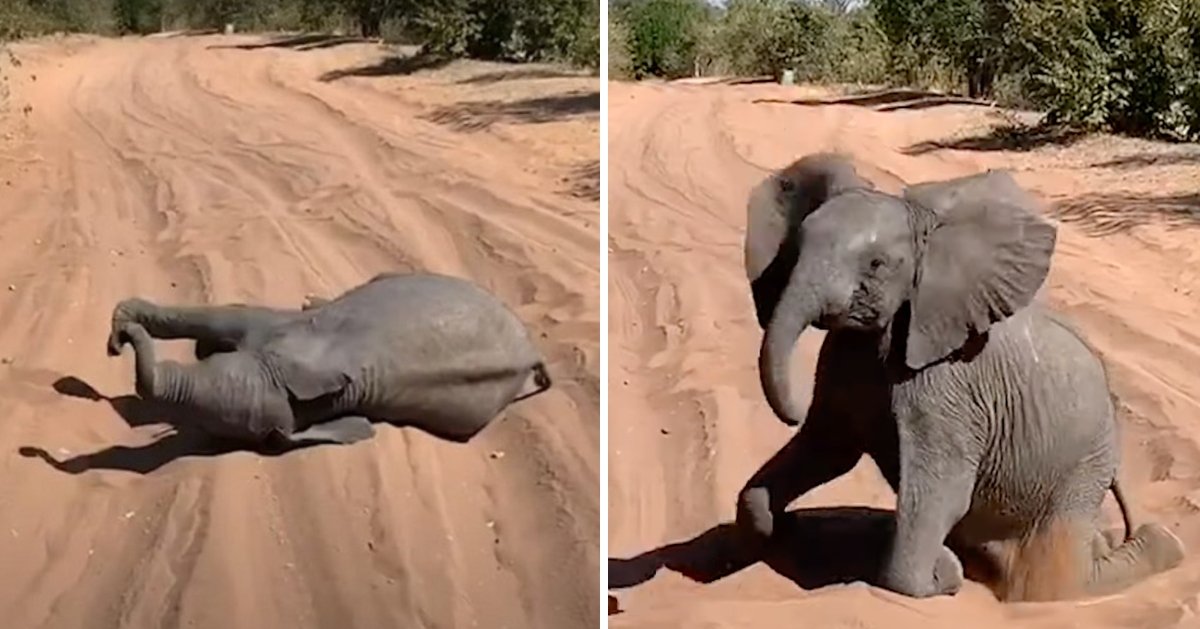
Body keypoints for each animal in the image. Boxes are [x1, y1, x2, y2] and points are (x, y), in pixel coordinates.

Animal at [735, 152, 1185, 602]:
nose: (792, 411)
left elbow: (943, 494)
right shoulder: (848, 357)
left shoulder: (948, 386)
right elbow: (828, 449)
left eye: (877, 265)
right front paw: (780, 529)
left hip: (1083, 465)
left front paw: (944, 574)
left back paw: (1164, 545)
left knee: (1050, 579)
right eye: (794, 251)